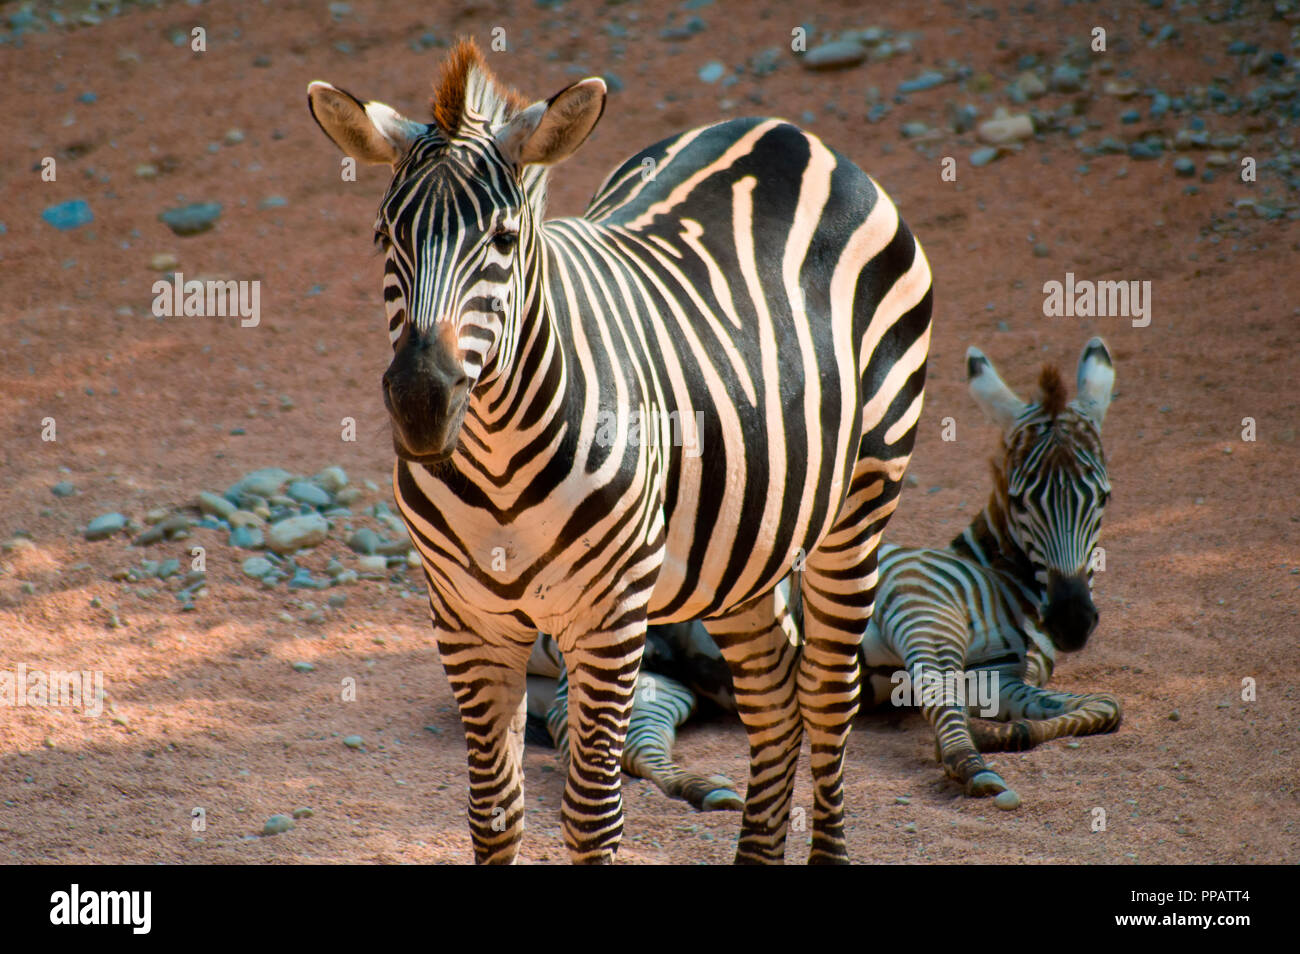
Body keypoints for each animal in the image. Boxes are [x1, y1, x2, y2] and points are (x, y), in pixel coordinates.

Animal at [307, 38, 932, 864]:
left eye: (504, 241)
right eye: (385, 238)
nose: (420, 403)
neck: (497, 460)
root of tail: (787, 131)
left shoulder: (609, 614)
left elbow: (592, 812)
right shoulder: (466, 617)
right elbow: (493, 811)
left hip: (863, 496)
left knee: (829, 696)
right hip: (745, 543)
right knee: (775, 695)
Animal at [528, 338, 1121, 810]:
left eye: (1104, 497)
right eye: (1021, 500)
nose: (1072, 621)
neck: (997, 582)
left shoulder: (998, 674)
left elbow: (1103, 708)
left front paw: (1007, 731)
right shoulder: (921, 606)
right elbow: (940, 697)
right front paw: (973, 764)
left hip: (661, 676)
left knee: (625, 740)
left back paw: (701, 788)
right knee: (573, 729)